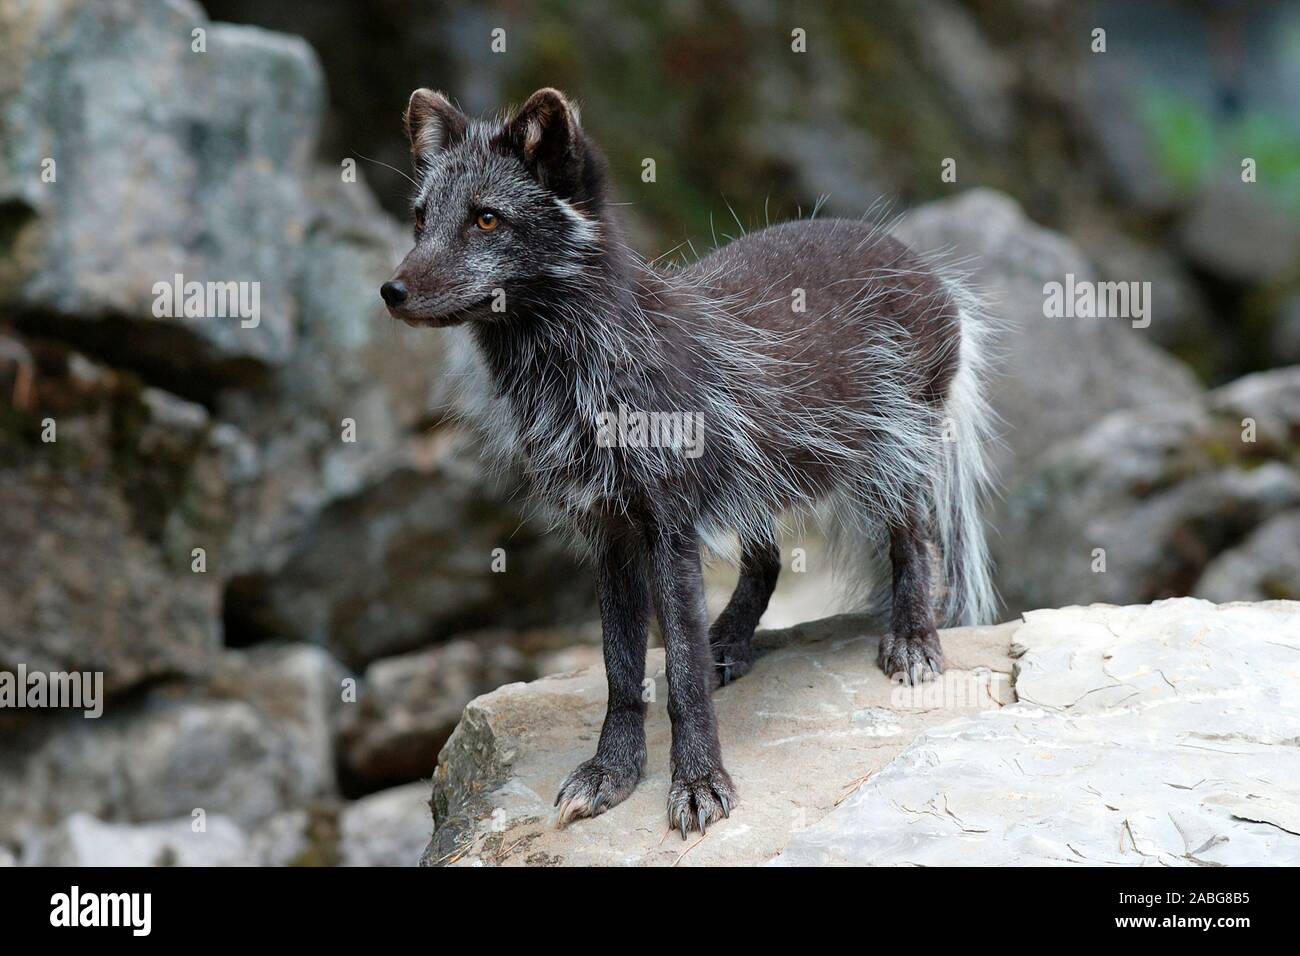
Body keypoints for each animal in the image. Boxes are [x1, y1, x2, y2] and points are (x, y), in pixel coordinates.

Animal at [381, 87, 996, 838]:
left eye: (487, 218)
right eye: (420, 218)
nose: (391, 291)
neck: (588, 377)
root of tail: (923, 263)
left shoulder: (669, 524)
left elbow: (679, 675)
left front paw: (699, 781)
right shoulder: (609, 529)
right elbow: (621, 669)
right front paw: (613, 772)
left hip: (894, 452)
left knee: (917, 540)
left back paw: (911, 638)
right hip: (761, 479)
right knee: (766, 563)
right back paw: (728, 639)